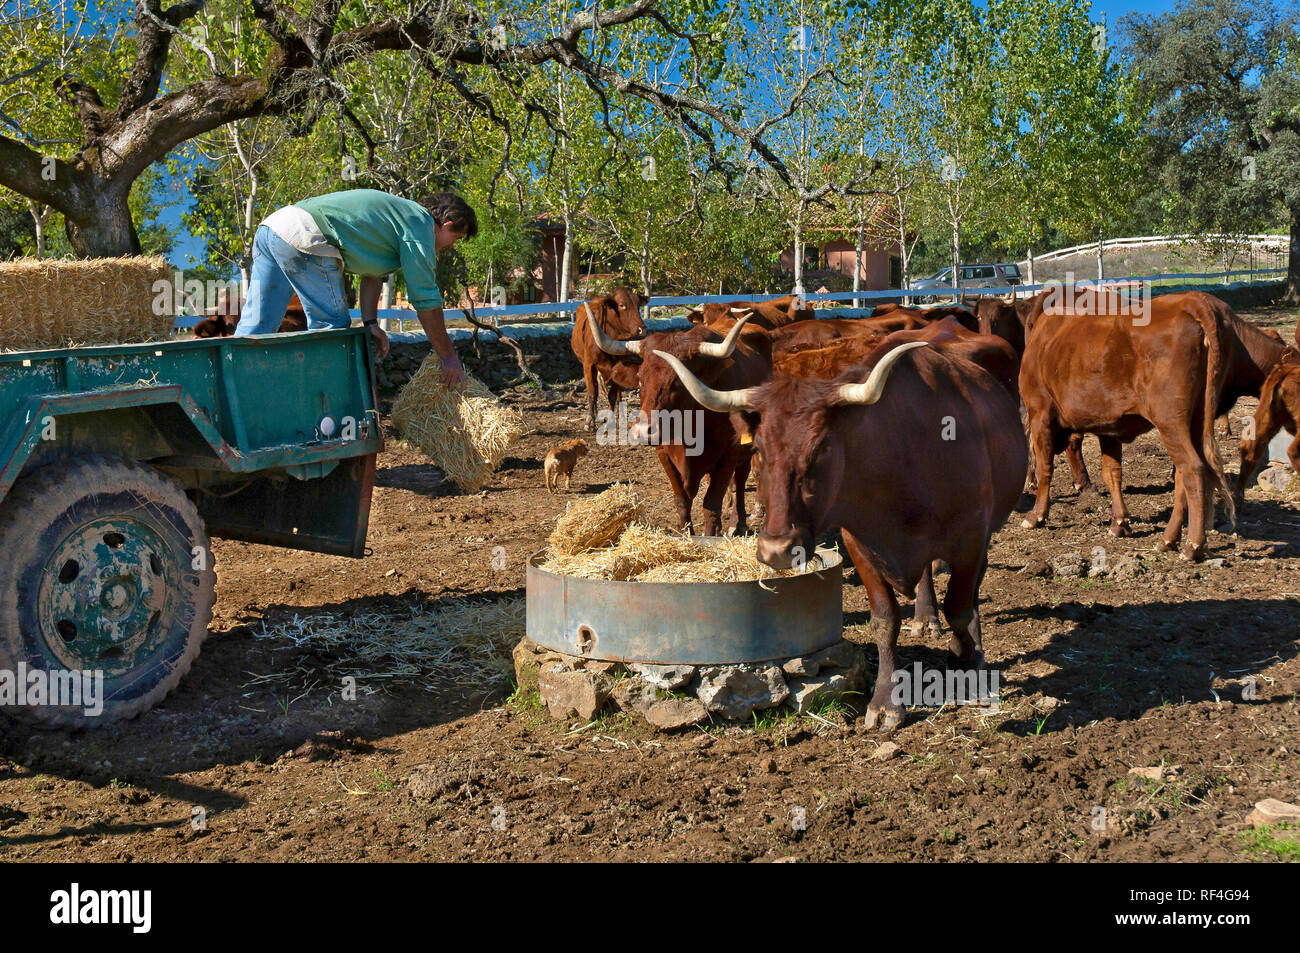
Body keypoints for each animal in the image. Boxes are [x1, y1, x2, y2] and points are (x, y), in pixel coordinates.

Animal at [570, 286, 650, 431]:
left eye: (638, 305)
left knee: (618, 395)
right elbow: (592, 393)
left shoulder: (620, 365)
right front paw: (589, 421)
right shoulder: (588, 365)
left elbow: (612, 395)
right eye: (622, 305)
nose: (643, 330)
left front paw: (611, 420)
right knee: (596, 390)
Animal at [587, 311, 764, 535]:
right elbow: (682, 501)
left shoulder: (729, 456)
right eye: (641, 379)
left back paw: (737, 523)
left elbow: (711, 504)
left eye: (678, 382)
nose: (642, 431)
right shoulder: (664, 454)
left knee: (740, 480)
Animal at [655, 333, 1027, 731]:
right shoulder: (860, 543)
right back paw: (927, 619)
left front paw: (973, 667)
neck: (902, 461)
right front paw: (886, 702)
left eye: (821, 447)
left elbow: (958, 607)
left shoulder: (971, 536)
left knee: (970, 592)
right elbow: (884, 621)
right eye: (757, 448)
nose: (776, 550)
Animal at [1019, 290, 1245, 561]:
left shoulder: (1039, 414)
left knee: (1192, 470)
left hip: (1171, 421)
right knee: (1183, 474)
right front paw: (1120, 523)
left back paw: (1193, 545)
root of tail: (1190, 302)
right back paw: (1169, 539)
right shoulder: (1108, 426)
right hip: (1197, 420)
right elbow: (1112, 473)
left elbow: (1045, 466)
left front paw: (1036, 516)